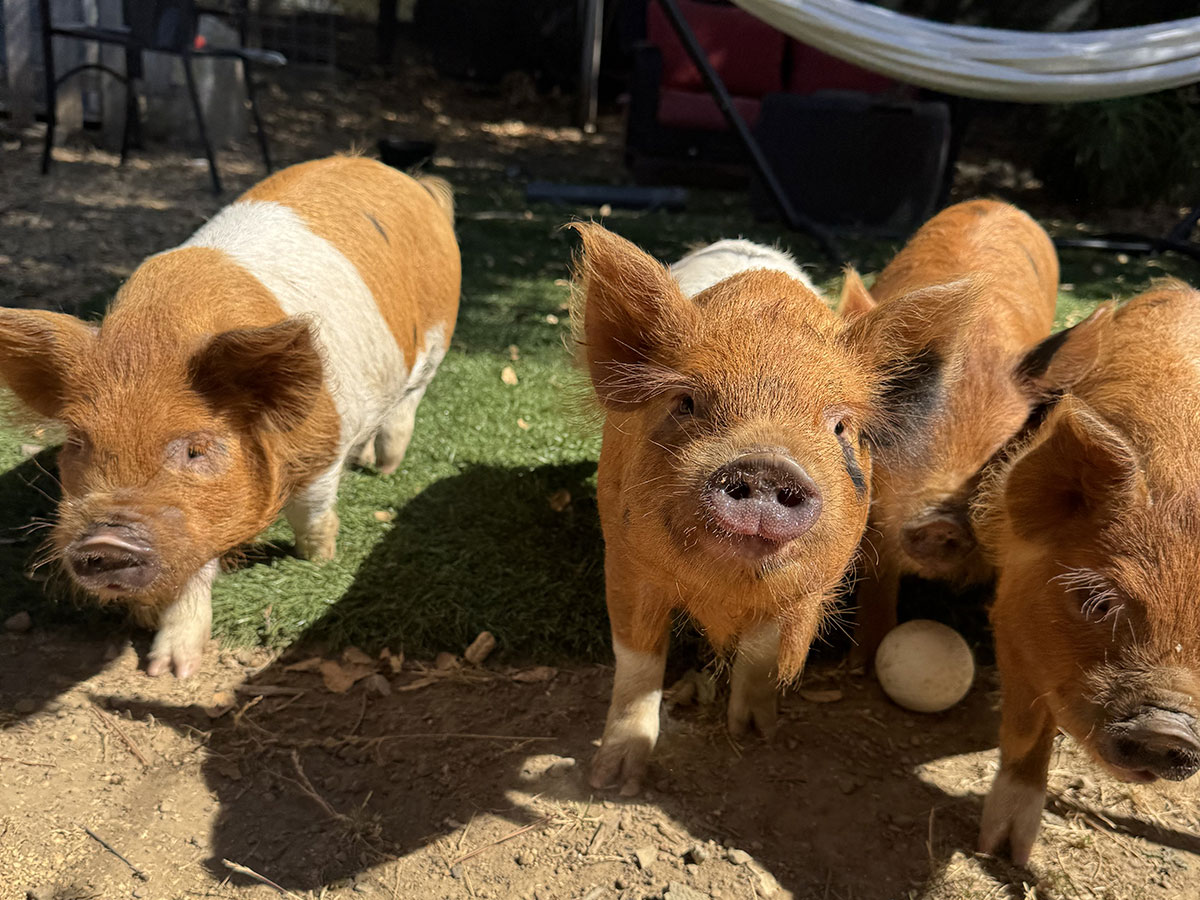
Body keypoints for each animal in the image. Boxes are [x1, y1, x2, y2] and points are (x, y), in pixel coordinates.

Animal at [0, 156, 461, 677]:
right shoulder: (199, 514)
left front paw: (319, 562)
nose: (106, 541)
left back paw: (383, 469)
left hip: (437, 340)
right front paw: (169, 670)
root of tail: (404, 178)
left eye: (197, 449)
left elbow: (311, 515)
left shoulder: (323, 452)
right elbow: (194, 567)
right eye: (78, 443)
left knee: (408, 402)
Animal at [572, 224, 990, 795]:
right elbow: (637, 663)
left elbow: (762, 649)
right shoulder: (623, 558)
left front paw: (755, 734)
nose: (768, 465)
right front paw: (613, 781)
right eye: (685, 403)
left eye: (839, 426)